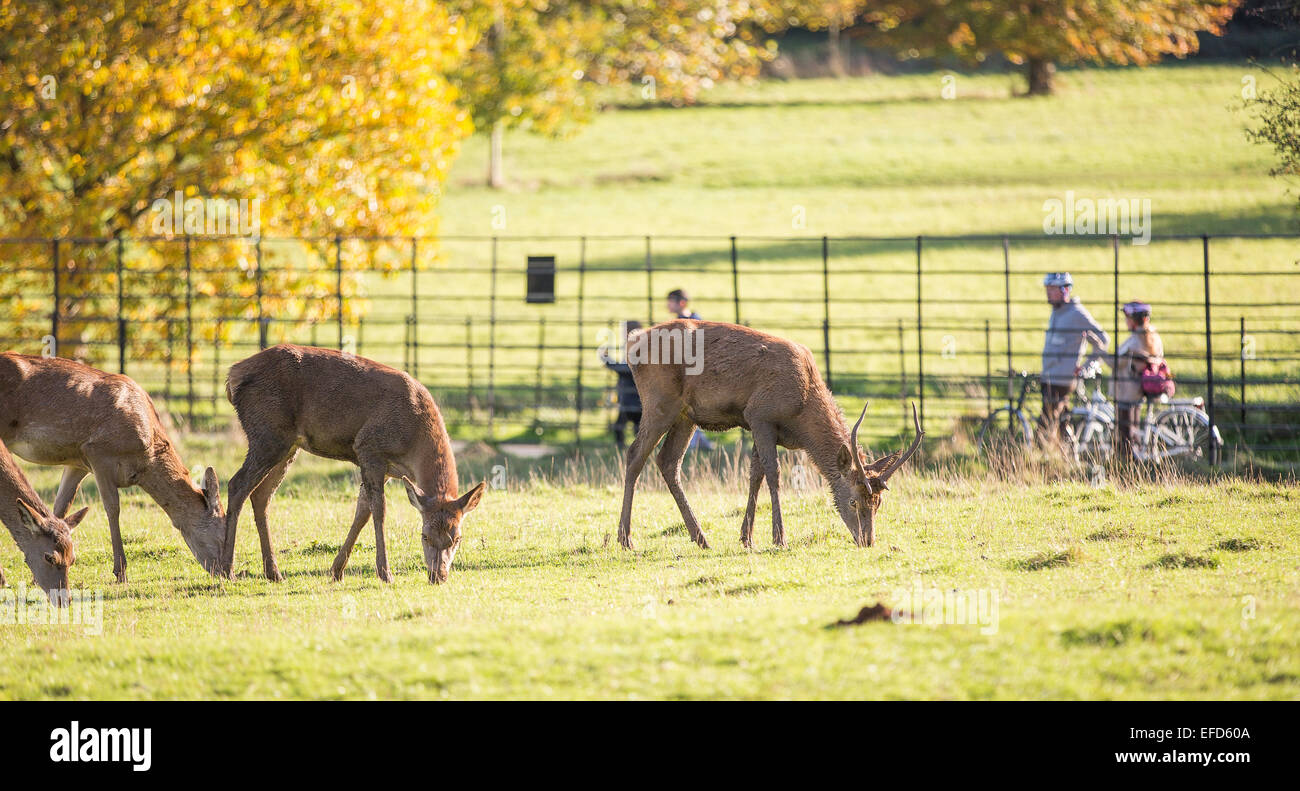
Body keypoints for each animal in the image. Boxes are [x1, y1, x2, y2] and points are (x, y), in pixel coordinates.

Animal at [0, 353, 226, 582]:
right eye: (224, 535)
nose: (228, 572)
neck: (144, 461)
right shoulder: (97, 452)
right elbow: (112, 507)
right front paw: (121, 572)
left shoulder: (78, 461)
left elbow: (61, 507)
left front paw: (37, 576)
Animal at [223, 344, 486, 584]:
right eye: (424, 536)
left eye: (457, 538)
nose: (437, 576)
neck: (413, 443)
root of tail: (232, 375)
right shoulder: (369, 447)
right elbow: (379, 510)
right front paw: (385, 573)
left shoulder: (385, 468)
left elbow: (362, 511)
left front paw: (336, 570)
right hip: (267, 433)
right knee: (237, 484)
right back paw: (226, 570)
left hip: (288, 445)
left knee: (261, 495)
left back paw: (273, 572)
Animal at [617, 319, 922, 550]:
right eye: (853, 500)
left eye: (878, 503)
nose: (867, 540)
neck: (801, 412)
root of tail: (632, 343)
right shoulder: (760, 415)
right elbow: (773, 474)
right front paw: (779, 538)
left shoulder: (758, 425)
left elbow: (755, 475)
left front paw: (746, 537)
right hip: (659, 402)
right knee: (635, 455)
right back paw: (626, 538)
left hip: (685, 415)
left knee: (668, 462)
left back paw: (701, 537)